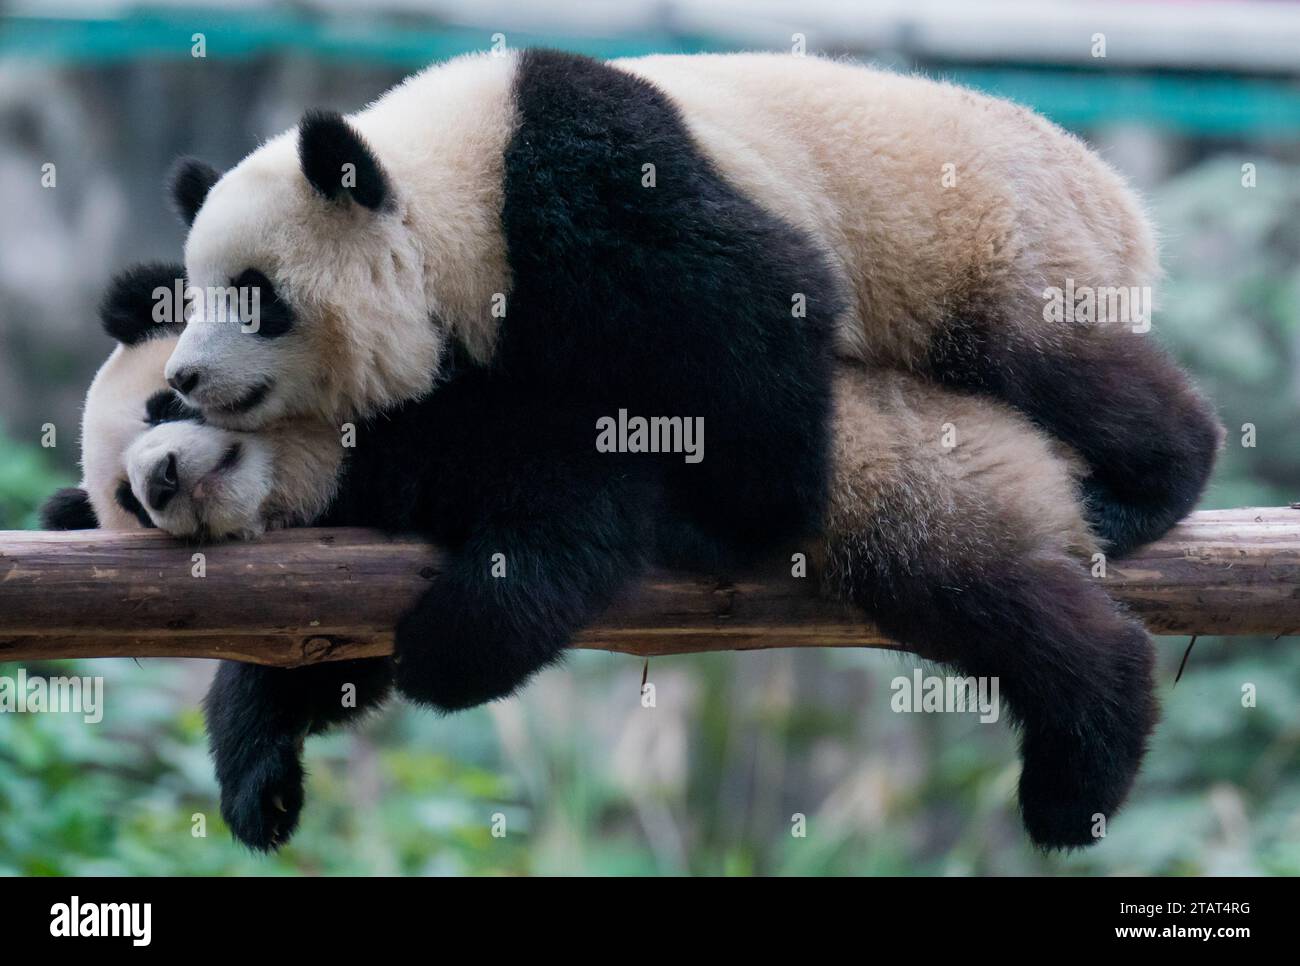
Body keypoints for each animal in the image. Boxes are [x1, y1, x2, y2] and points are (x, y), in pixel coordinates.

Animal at [51, 258, 1179, 853]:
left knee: (1015, 616)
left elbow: (571, 509)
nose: (159, 482)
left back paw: (1077, 774)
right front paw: (262, 788)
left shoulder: (489, 396)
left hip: (918, 486)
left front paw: (451, 655)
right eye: (125, 505)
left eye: (163, 405)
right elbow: (322, 658)